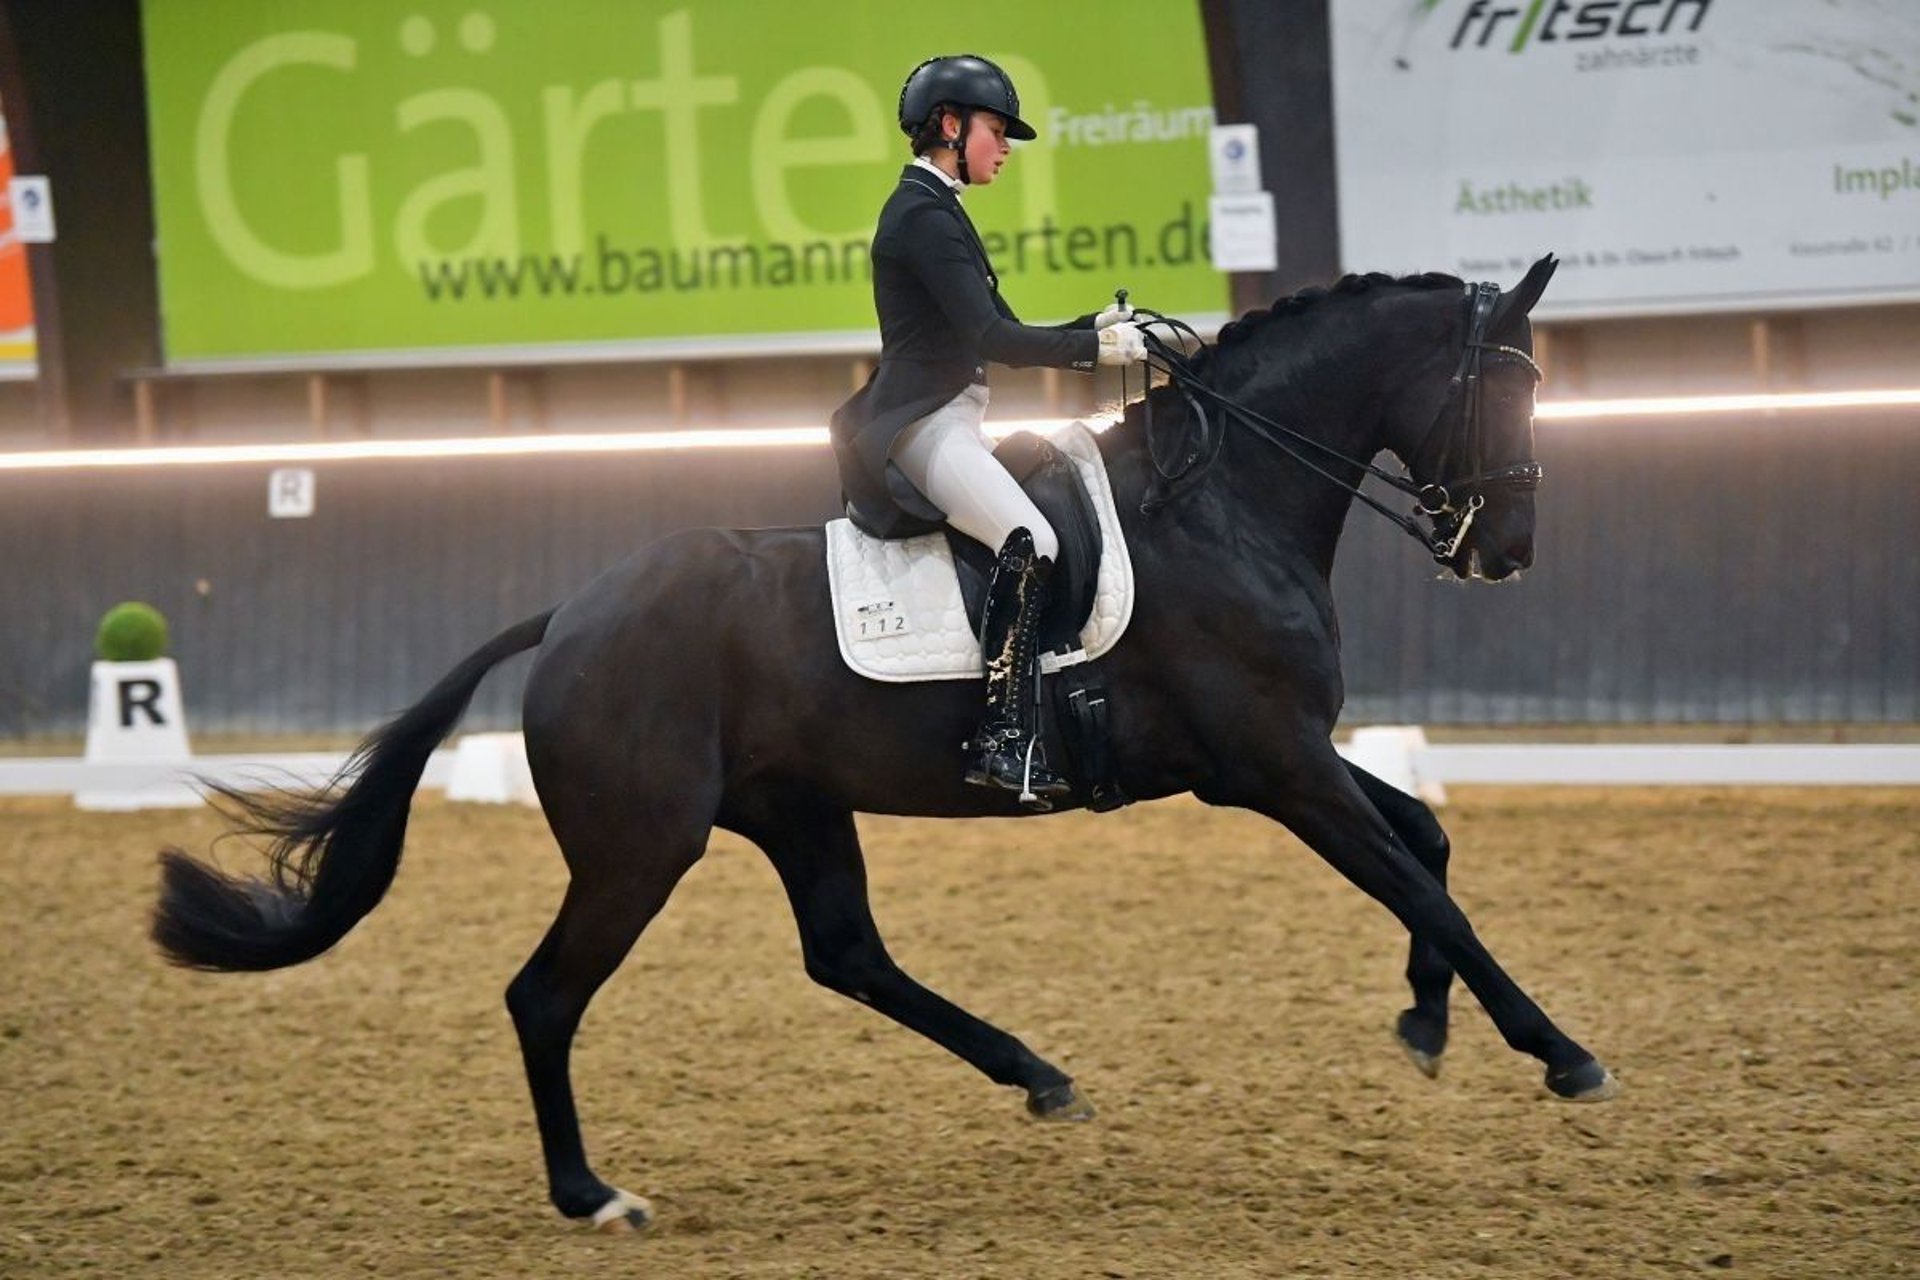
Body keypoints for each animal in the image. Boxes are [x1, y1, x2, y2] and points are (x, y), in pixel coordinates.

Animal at [152, 254, 1616, 1233]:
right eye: (1508, 395)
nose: (1507, 549)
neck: (1225, 503)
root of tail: (571, 614)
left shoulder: (1279, 754)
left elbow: (1426, 841)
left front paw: (1425, 1019)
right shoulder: (1273, 763)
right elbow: (1420, 879)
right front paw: (1560, 1051)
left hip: (795, 807)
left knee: (847, 954)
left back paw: (1039, 1076)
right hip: (641, 847)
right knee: (545, 996)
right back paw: (590, 1193)